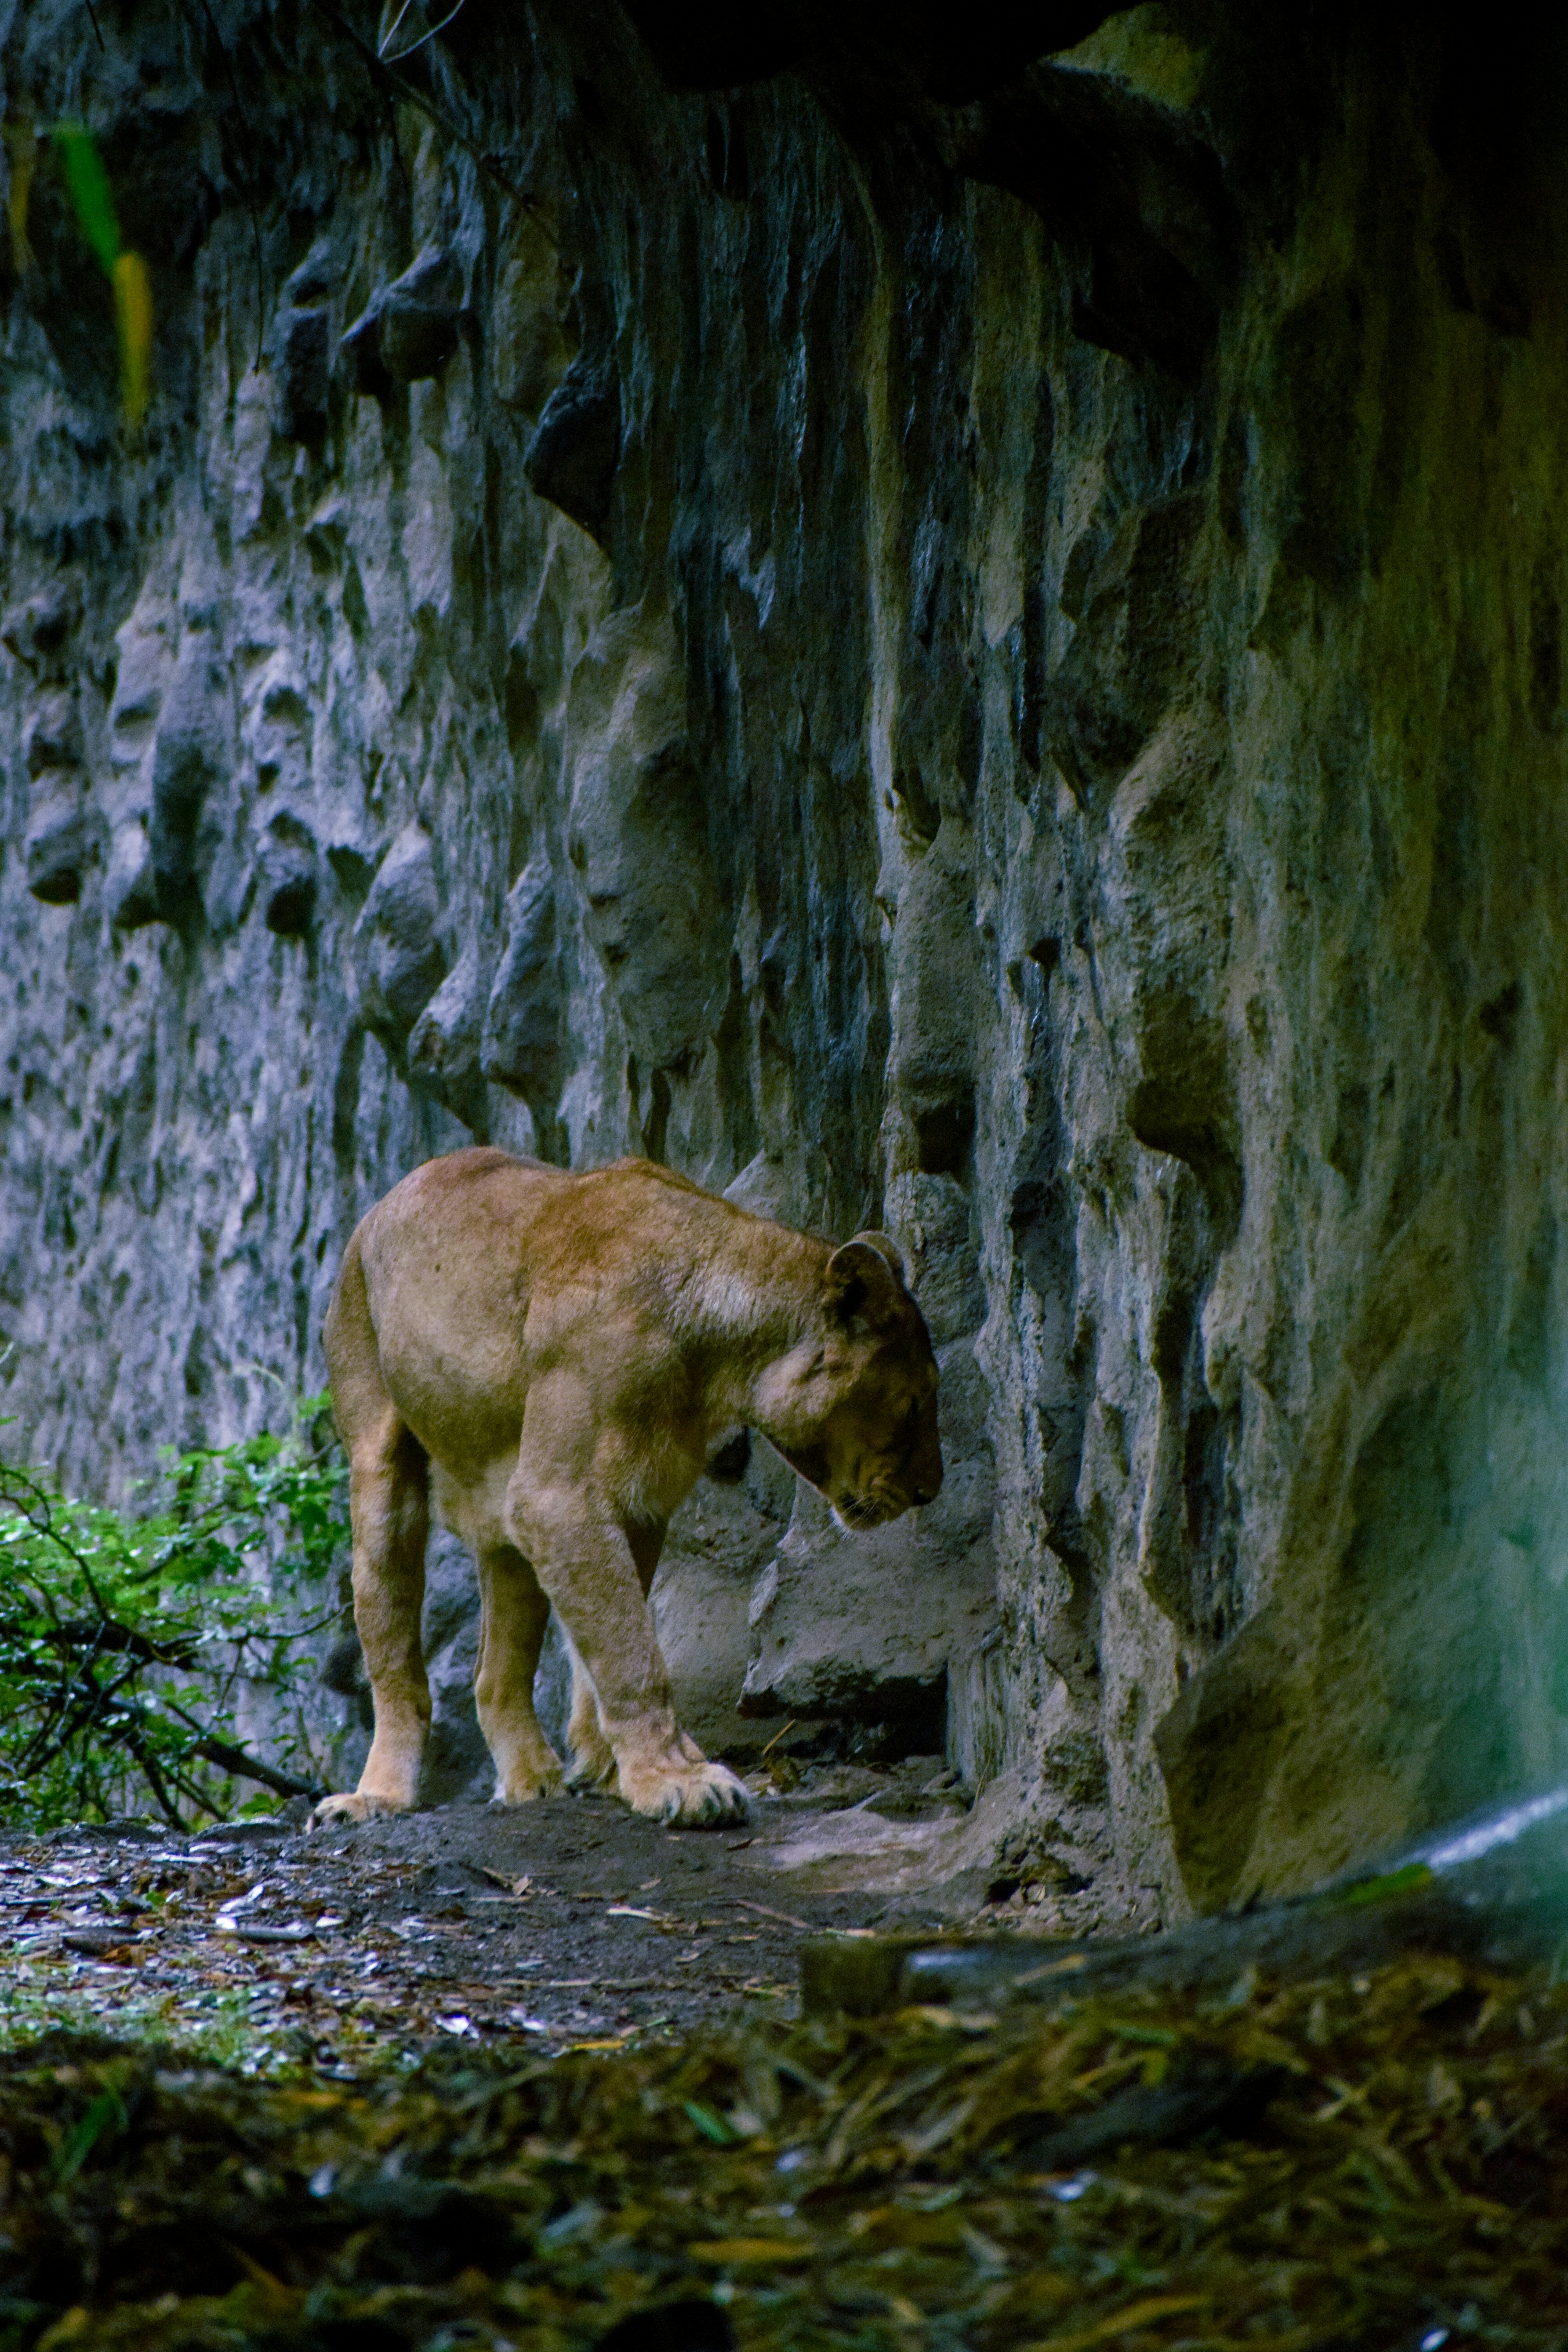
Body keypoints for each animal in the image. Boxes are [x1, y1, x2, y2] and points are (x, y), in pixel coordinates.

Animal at [311, 1148, 943, 1828]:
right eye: (914, 1403)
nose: (931, 1491)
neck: (720, 1353)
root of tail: (381, 1205)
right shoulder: (558, 1498)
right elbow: (629, 1652)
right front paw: (677, 1781)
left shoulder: (638, 1501)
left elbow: (609, 1642)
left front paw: (616, 1770)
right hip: (380, 1467)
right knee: (393, 1656)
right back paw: (375, 1796)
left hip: (502, 1508)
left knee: (493, 1674)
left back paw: (533, 1780)